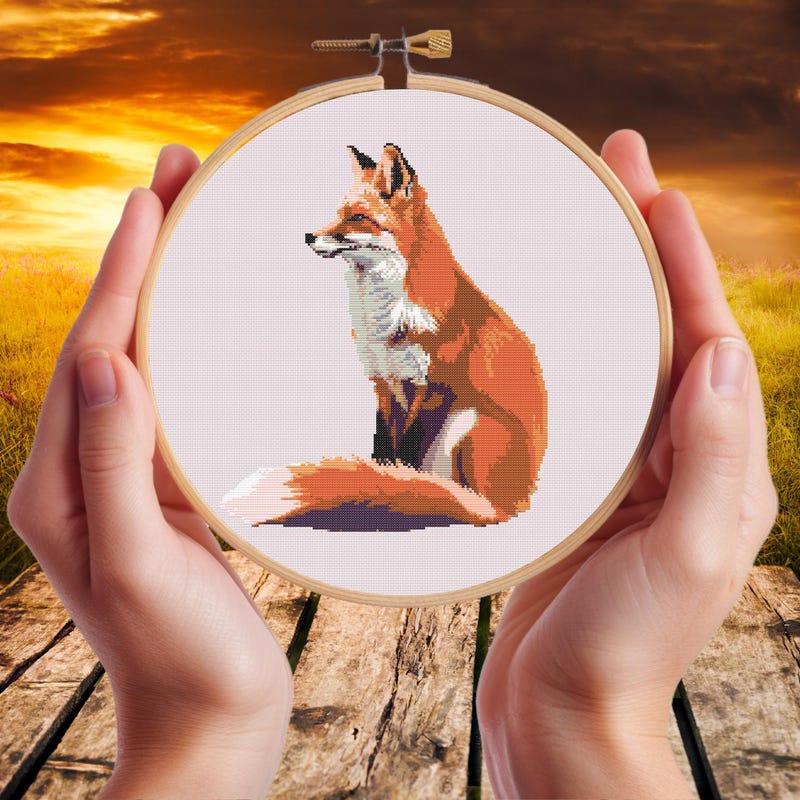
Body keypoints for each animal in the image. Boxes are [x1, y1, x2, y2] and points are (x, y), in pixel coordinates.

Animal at [221, 143, 547, 529]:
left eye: (358, 217)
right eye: (338, 213)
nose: (308, 236)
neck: (386, 316)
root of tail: (519, 500)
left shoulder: (432, 387)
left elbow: (404, 457)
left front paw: (392, 489)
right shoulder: (381, 381)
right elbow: (382, 454)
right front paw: (379, 485)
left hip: (471, 421)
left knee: (479, 509)